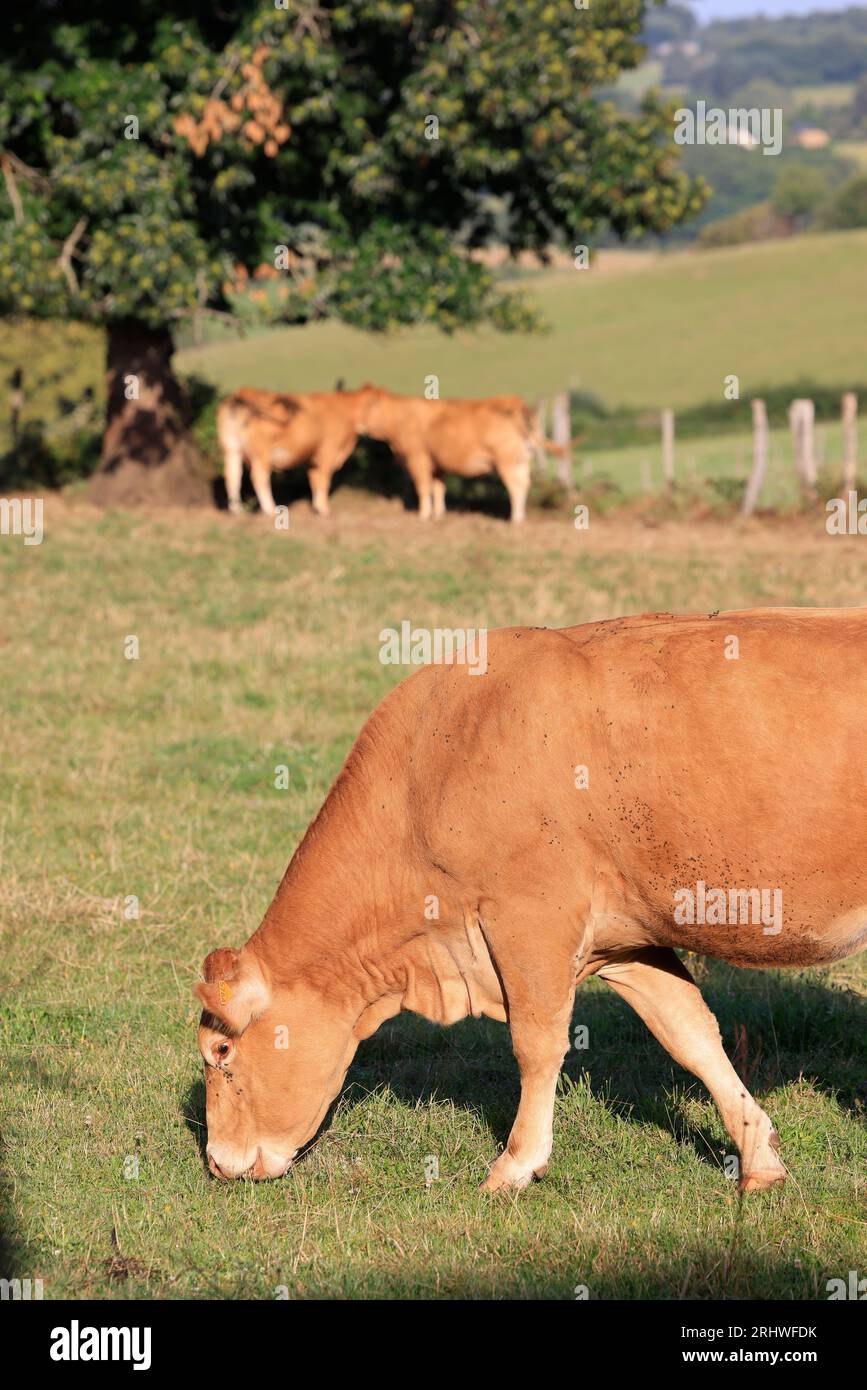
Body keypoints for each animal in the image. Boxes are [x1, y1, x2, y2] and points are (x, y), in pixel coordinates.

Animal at [196, 608, 867, 1192]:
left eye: (221, 1050)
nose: (218, 1163)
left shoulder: (530, 917)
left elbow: (537, 1043)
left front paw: (516, 1164)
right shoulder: (626, 940)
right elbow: (691, 1034)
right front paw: (759, 1159)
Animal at [217, 387, 371, 517]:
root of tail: (240, 394)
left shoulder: (312, 458)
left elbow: (314, 480)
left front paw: (317, 506)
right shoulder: (328, 451)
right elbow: (323, 480)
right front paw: (323, 509)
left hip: (232, 448)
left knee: (232, 476)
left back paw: (236, 510)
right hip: (260, 453)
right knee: (259, 477)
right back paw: (270, 509)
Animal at [354, 386, 570, 524]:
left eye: (368, 404)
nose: (357, 423)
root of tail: (512, 403)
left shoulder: (418, 458)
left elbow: (423, 487)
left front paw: (423, 515)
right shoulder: (437, 464)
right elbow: (438, 488)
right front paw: (439, 514)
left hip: (506, 461)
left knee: (516, 487)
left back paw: (515, 519)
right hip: (521, 460)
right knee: (524, 484)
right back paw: (521, 518)